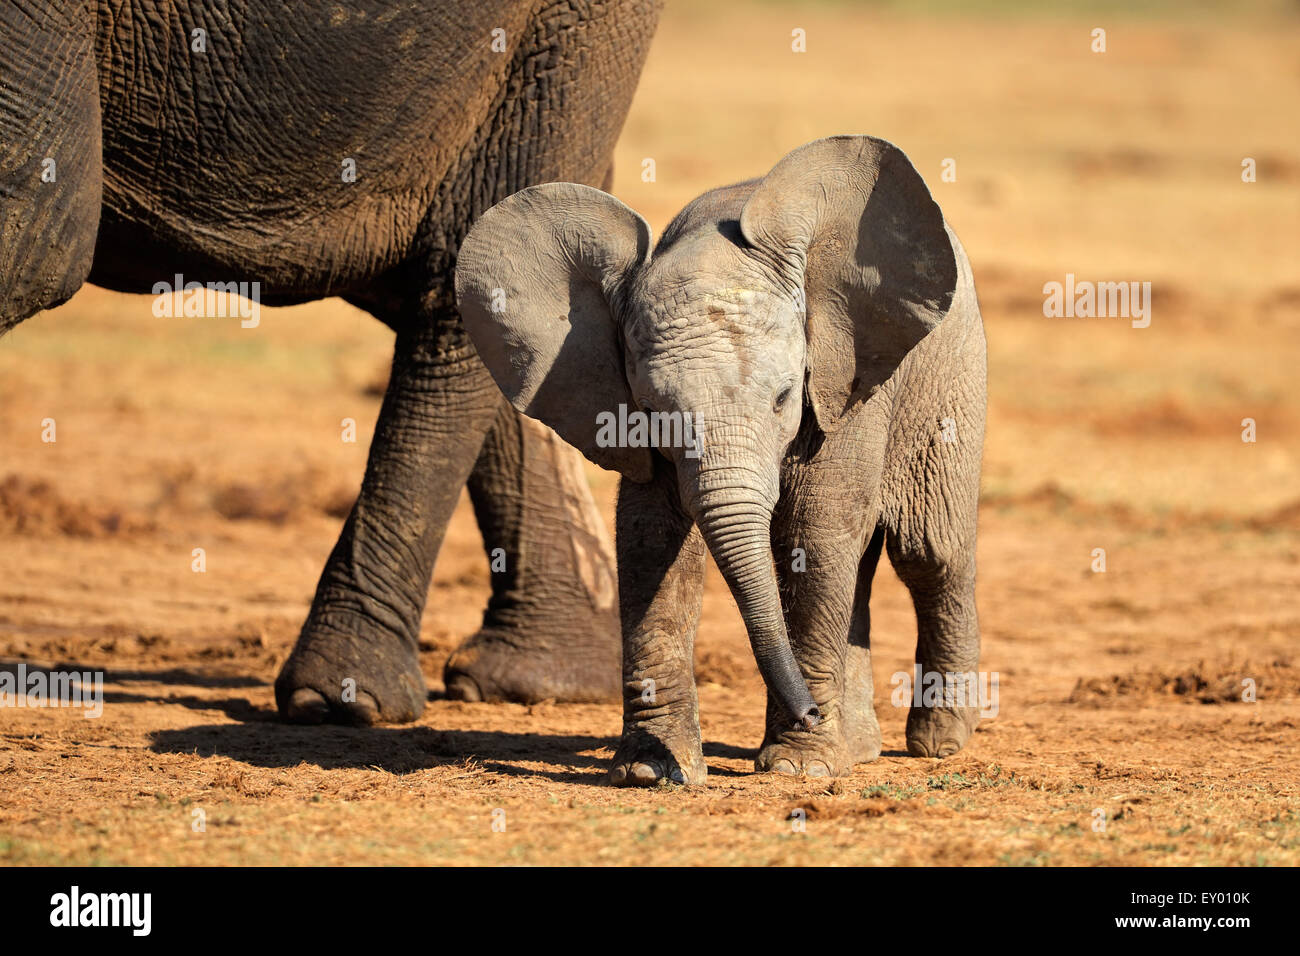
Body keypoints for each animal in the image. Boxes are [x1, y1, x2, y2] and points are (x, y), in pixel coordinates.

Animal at [456, 136, 987, 784]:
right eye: (653, 409)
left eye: (784, 397)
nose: (811, 712)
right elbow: (652, 540)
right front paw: (651, 770)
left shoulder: (839, 382)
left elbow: (814, 530)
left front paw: (798, 769)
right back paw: (859, 747)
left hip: (952, 373)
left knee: (928, 551)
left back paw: (939, 742)